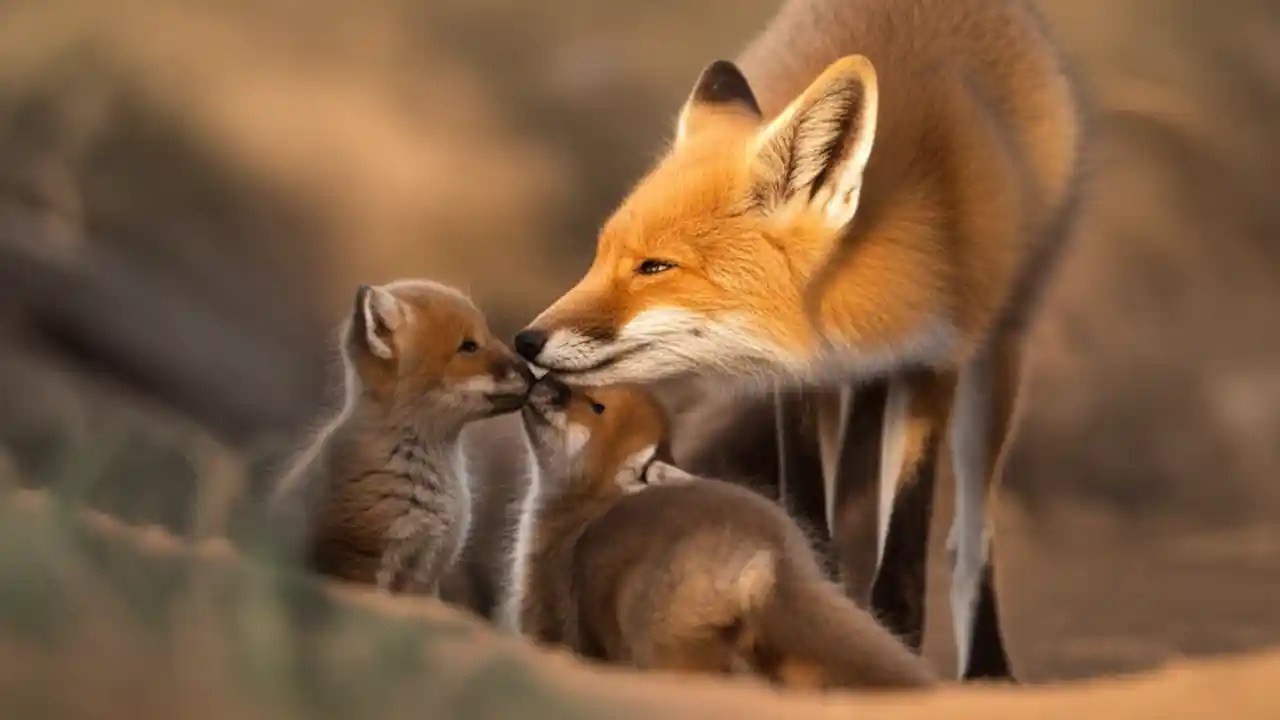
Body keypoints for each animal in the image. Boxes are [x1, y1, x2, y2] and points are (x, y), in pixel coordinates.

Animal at [508, 376, 937, 690]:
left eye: (597, 406)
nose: (541, 380)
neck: (579, 519)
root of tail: (775, 557)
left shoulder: (551, 626)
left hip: (666, 651)